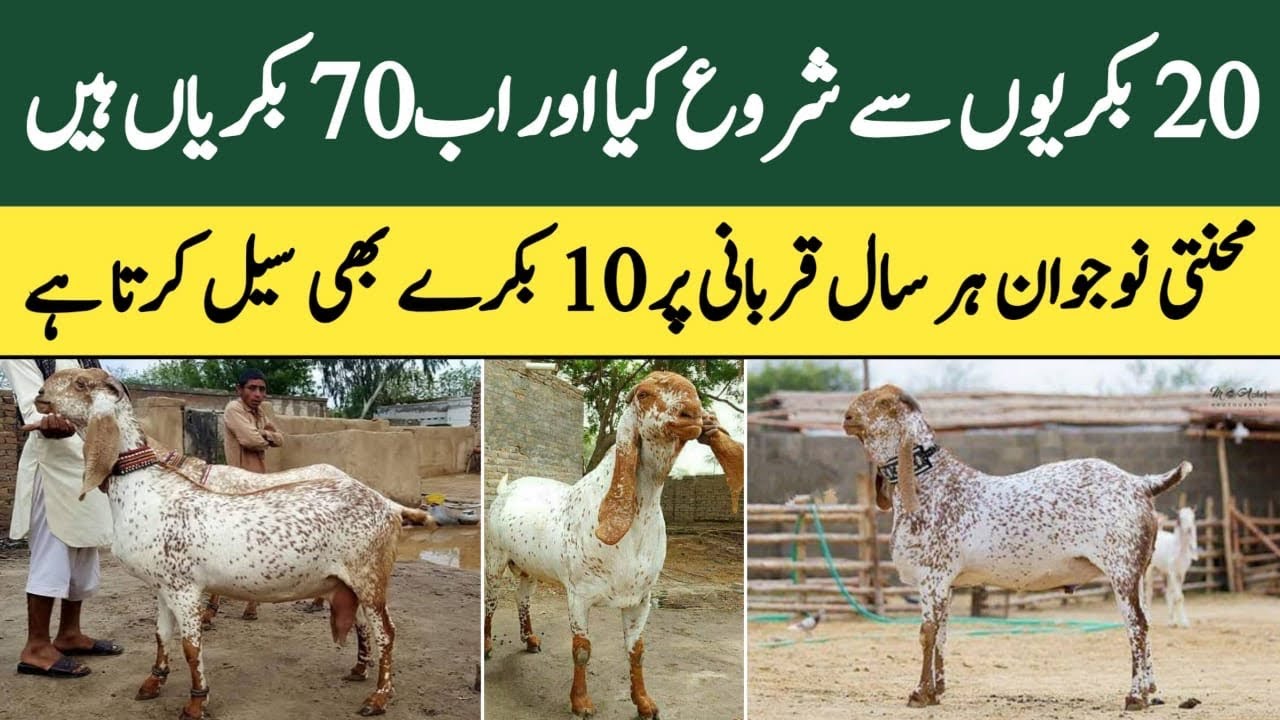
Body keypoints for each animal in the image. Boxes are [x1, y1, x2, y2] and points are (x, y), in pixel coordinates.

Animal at [35, 368, 425, 718]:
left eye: (81, 382)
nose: (40, 394)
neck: (146, 488)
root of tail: (388, 505)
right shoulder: (162, 585)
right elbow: (161, 635)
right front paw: (153, 683)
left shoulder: (184, 588)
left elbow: (191, 646)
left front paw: (196, 703)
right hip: (347, 583)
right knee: (363, 624)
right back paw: (359, 671)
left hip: (370, 578)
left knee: (387, 633)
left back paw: (379, 698)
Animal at [484, 371, 742, 718]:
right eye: (644, 394)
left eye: (695, 394)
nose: (691, 414)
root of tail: (507, 488)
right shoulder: (578, 595)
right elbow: (582, 650)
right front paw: (581, 702)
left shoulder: (641, 598)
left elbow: (637, 650)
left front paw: (644, 703)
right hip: (495, 557)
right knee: (491, 600)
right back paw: (487, 646)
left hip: (528, 566)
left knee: (521, 597)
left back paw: (530, 639)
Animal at [842, 385, 1191, 711]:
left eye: (883, 403)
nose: (847, 416)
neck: (931, 484)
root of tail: (1140, 483)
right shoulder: (946, 585)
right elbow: (941, 633)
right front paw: (936, 691)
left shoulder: (933, 576)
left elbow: (926, 632)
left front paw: (919, 693)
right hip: (1137, 572)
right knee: (1145, 621)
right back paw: (1150, 690)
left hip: (1121, 570)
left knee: (1136, 626)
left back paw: (1135, 696)